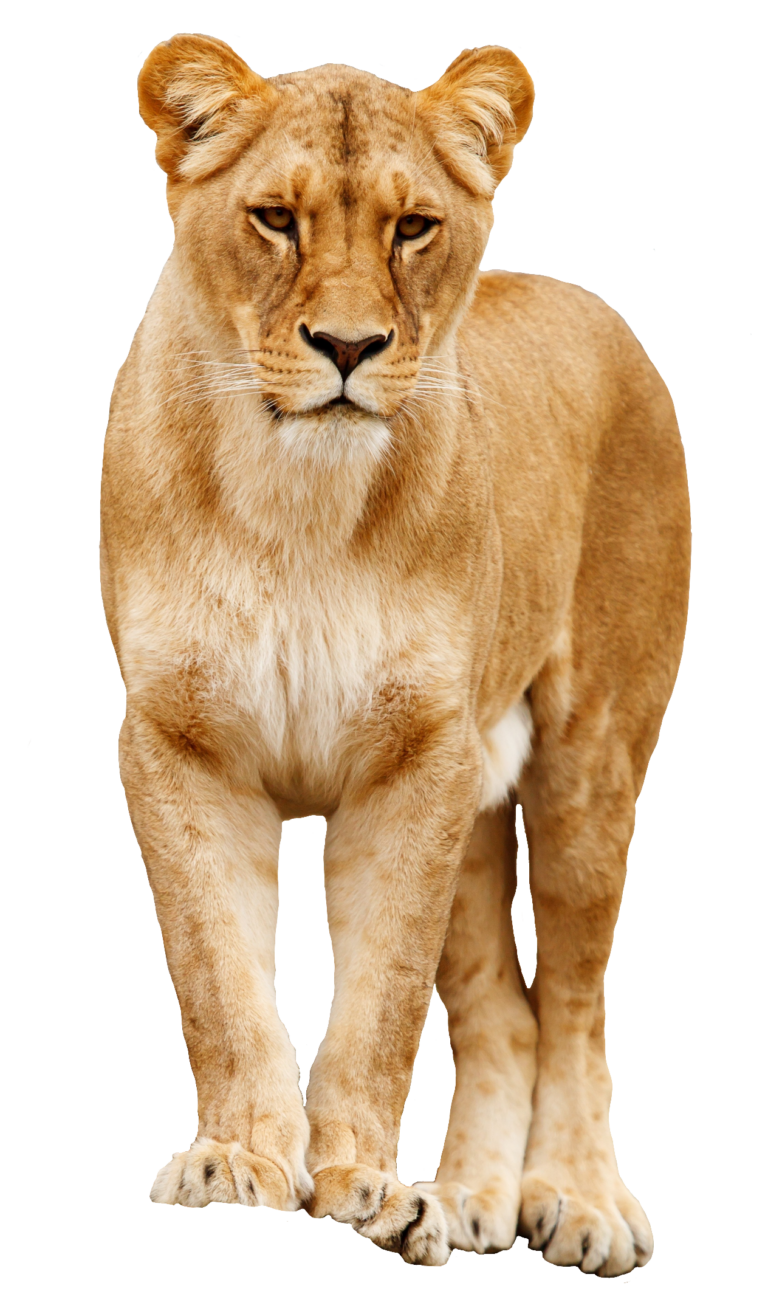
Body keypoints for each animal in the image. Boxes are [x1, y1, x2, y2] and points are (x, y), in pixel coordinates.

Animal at [99, 34, 691, 1271]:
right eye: (275, 219)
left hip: (588, 767)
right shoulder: (180, 744)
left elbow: (380, 1003)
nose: (348, 347)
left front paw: (360, 1186)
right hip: (477, 804)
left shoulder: (415, 759)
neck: (296, 501)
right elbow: (220, 979)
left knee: (575, 1002)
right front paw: (239, 1163)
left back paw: (579, 1201)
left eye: (414, 227)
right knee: (506, 1013)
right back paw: (467, 1201)